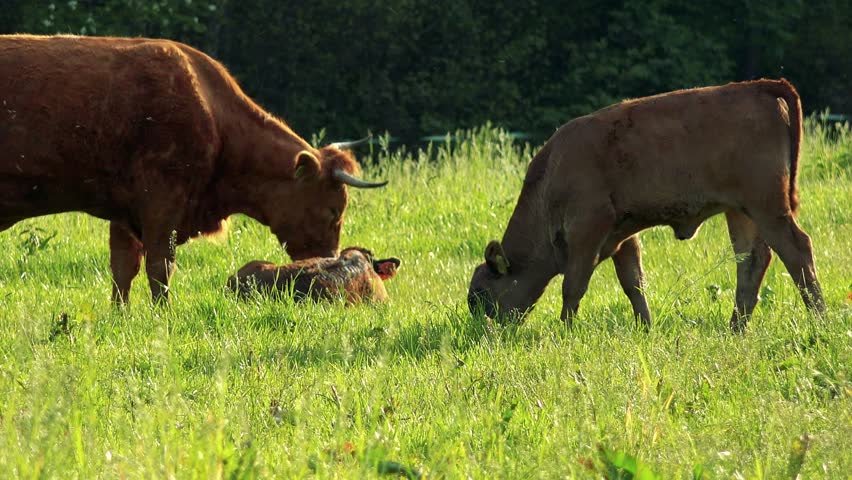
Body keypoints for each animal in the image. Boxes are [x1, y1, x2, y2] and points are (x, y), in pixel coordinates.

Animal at [468, 79, 826, 332]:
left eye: (483, 294)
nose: (485, 329)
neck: (553, 175)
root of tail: (760, 87)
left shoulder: (587, 230)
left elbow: (573, 286)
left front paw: (565, 331)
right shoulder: (622, 237)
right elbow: (633, 283)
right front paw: (646, 328)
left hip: (767, 208)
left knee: (798, 250)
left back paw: (819, 320)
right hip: (740, 211)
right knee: (752, 260)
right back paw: (736, 329)